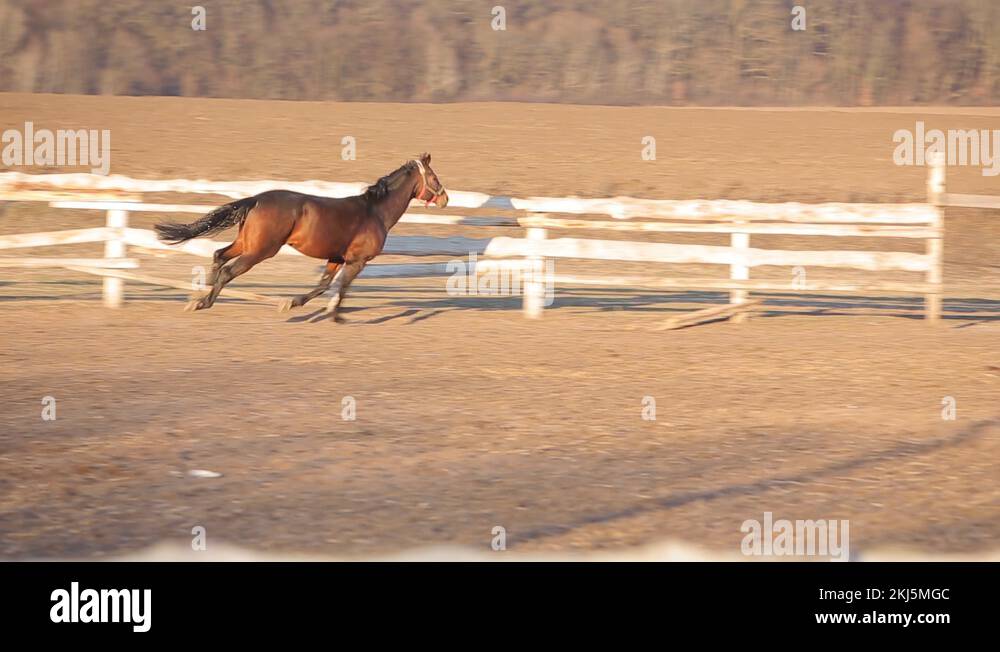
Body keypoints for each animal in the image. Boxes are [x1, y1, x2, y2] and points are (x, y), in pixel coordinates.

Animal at [154, 153, 448, 322]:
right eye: (434, 177)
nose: (445, 198)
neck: (375, 212)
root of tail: (256, 199)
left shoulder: (336, 258)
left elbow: (323, 285)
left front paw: (292, 303)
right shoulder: (358, 261)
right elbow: (341, 287)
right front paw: (336, 316)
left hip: (246, 244)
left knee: (218, 256)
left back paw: (200, 295)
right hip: (261, 250)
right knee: (227, 270)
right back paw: (204, 302)